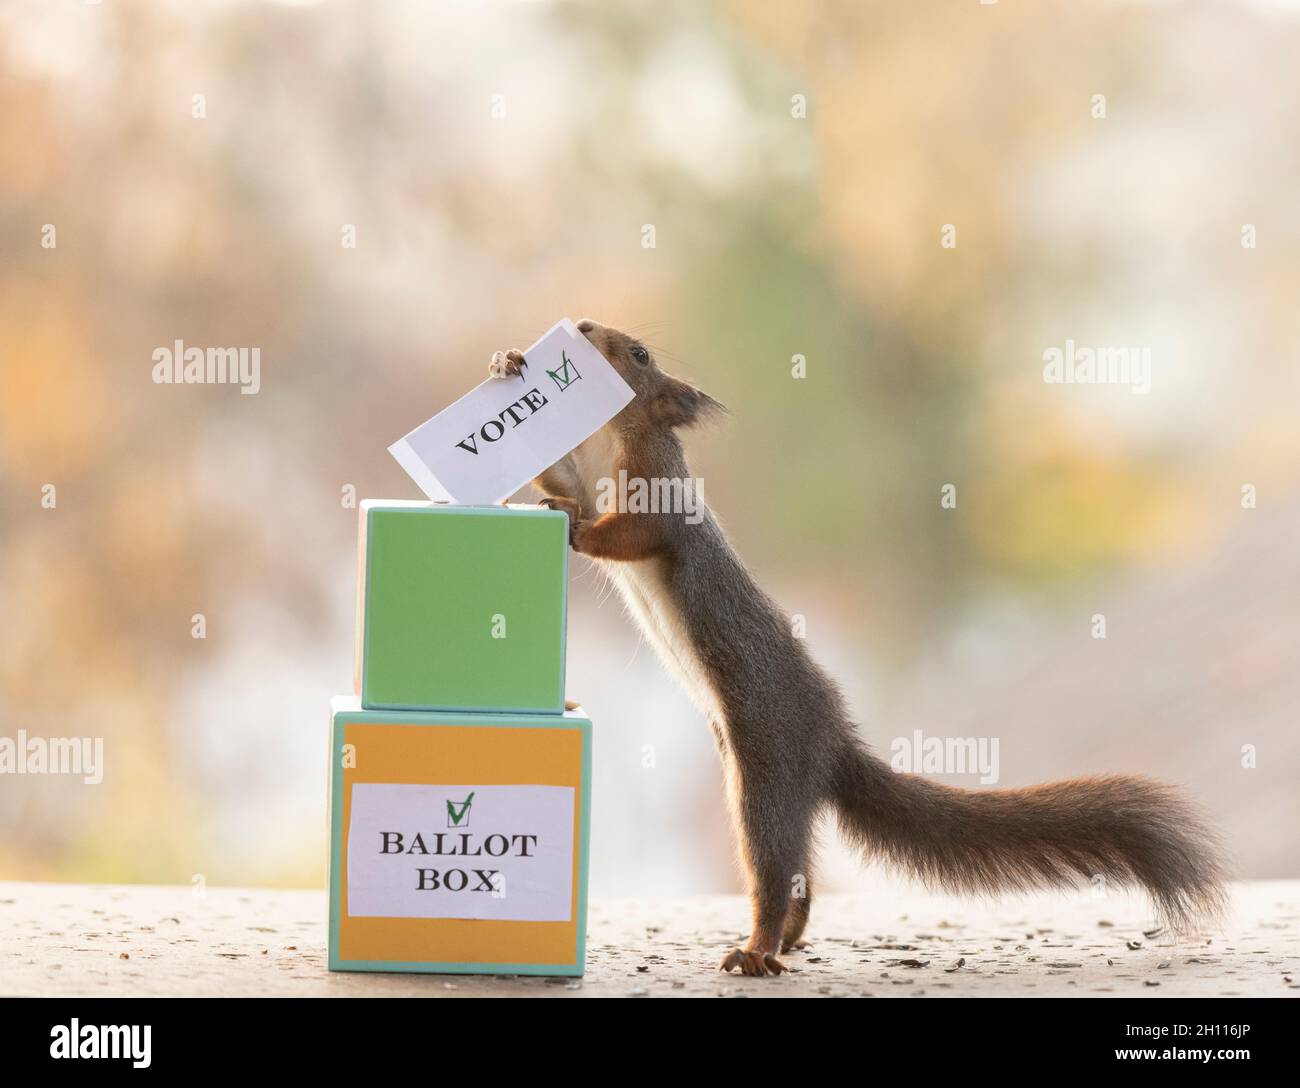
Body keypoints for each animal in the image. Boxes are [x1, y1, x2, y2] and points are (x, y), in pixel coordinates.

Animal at [488, 320, 1226, 977]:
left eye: (639, 353)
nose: (585, 326)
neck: (613, 437)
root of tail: (832, 740)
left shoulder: (655, 487)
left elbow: (633, 530)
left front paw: (576, 525)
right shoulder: (589, 468)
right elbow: (562, 476)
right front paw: (508, 364)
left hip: (765, 770)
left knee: (773, 867)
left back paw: (756, 950)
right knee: (800, 879)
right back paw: (784, 942)